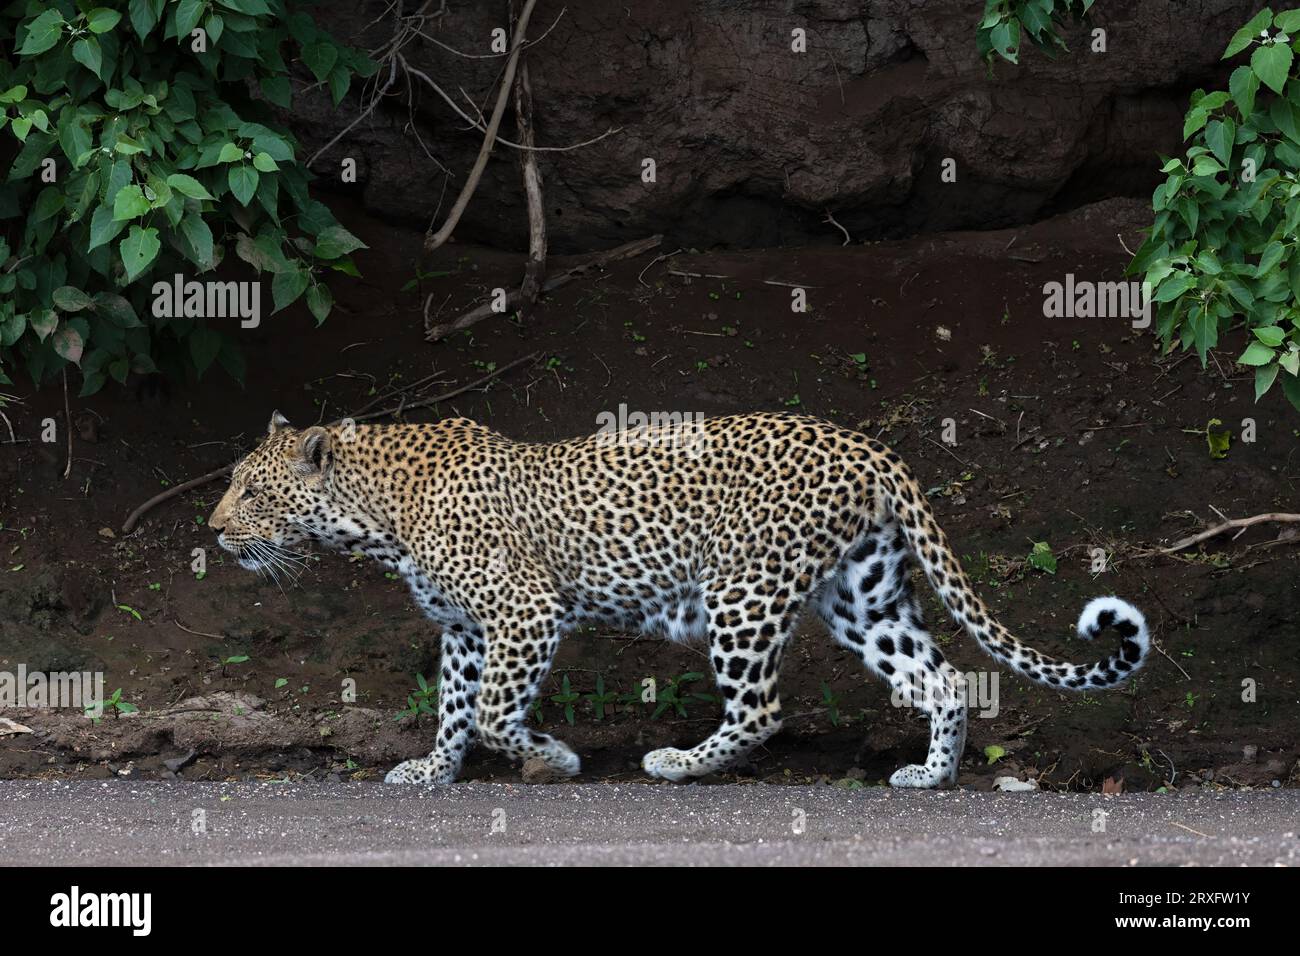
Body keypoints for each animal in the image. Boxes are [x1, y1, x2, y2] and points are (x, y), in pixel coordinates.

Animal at [208, 409, 1149, 789]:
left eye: (251, 491)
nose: (212, 530)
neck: (374, 513)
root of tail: (866, 445)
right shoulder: (465, 629)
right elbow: (456, 711)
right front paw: (434, 771)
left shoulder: (524, 612)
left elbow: (496, 715)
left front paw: (552, 759)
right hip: (863, 599)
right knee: (944, 680)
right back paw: (931, 775)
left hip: (743, 593)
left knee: (763, 706)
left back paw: (682, 764)